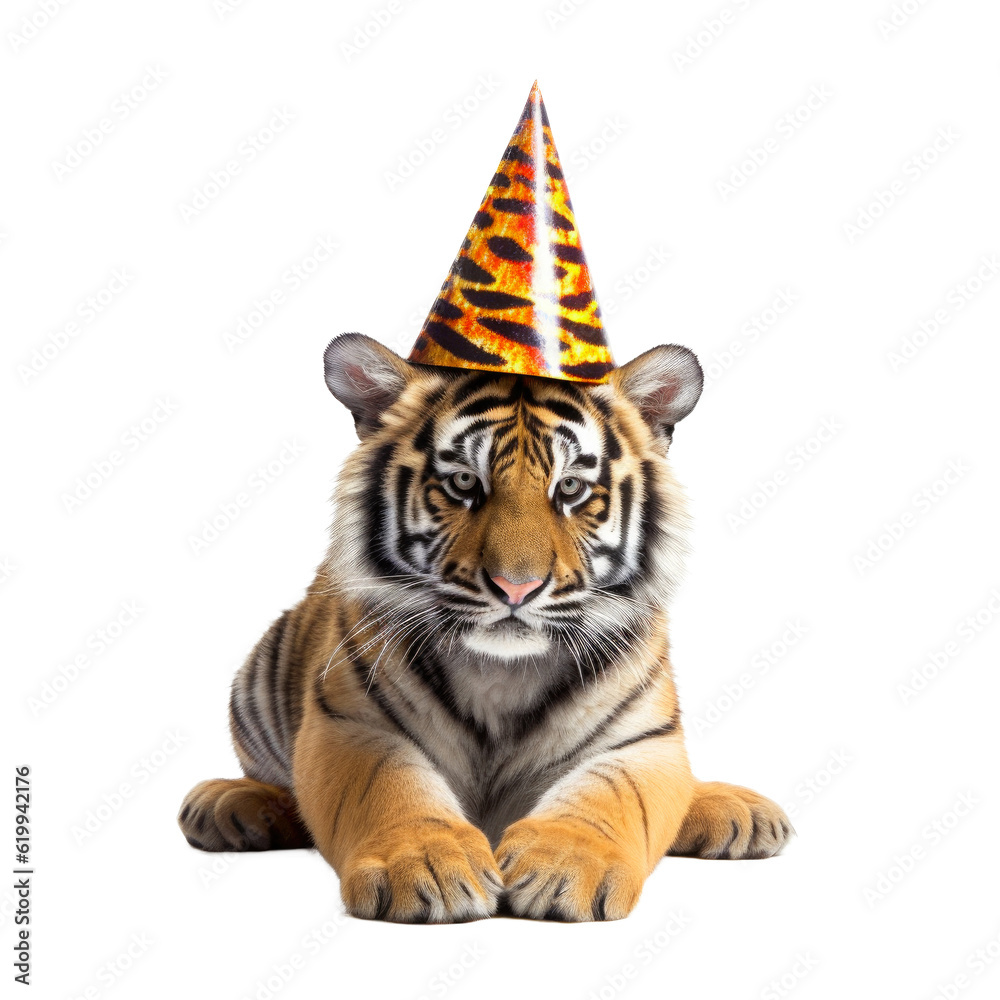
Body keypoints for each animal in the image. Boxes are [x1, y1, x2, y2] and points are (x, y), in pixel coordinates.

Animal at [178, 331, 793, 923]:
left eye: (571, 489)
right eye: (461, 483)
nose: (516, 587)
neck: (503, 673)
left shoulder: (642, 742)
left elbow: (611, 796)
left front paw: (563, 867)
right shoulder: (350, 723)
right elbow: (389, 787)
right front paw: (427, 867)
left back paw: (738, 811)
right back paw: (227, 805)